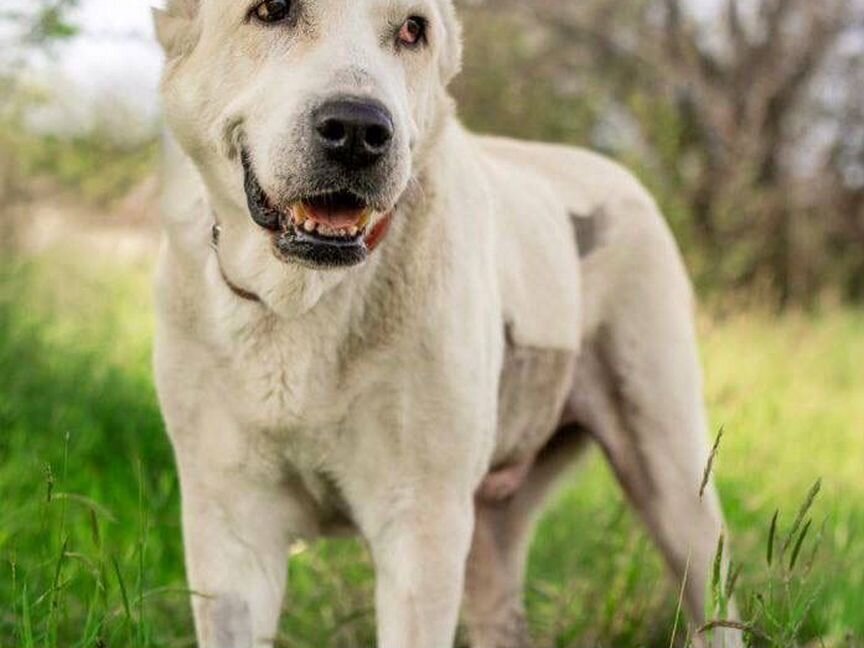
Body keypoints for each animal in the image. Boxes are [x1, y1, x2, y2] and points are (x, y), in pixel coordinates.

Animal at [152, 1, 740, 648]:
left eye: (413, 30)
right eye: (272, 10)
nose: (358, 130)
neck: (303, 303)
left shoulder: (422, 526)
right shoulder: (230, 527)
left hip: (673, 477)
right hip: (491, 532)